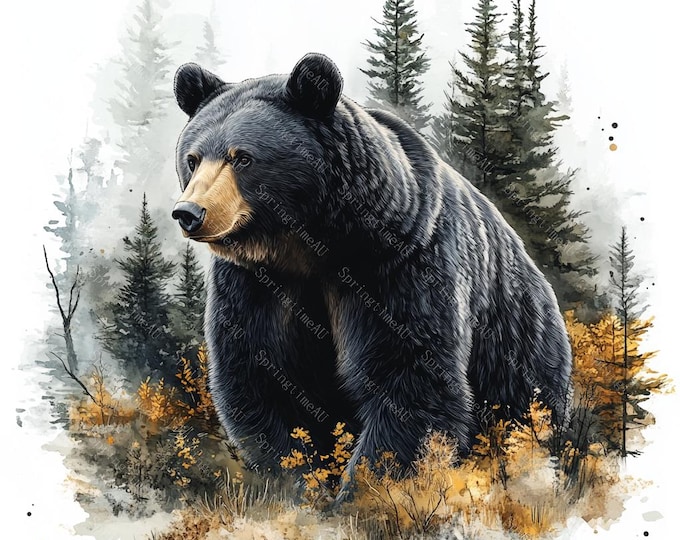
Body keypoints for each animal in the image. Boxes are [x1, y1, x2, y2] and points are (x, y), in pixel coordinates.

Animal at [170, 53, 572, 480]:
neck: (310, 244)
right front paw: (300, 477)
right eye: (193, 160)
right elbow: (263, 381)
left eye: (242, 157)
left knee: (524, 409)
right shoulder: (256, 283)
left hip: (517, 343)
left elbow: (409, 381)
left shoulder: (400, 266)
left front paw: (365, 485)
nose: (189, 212)